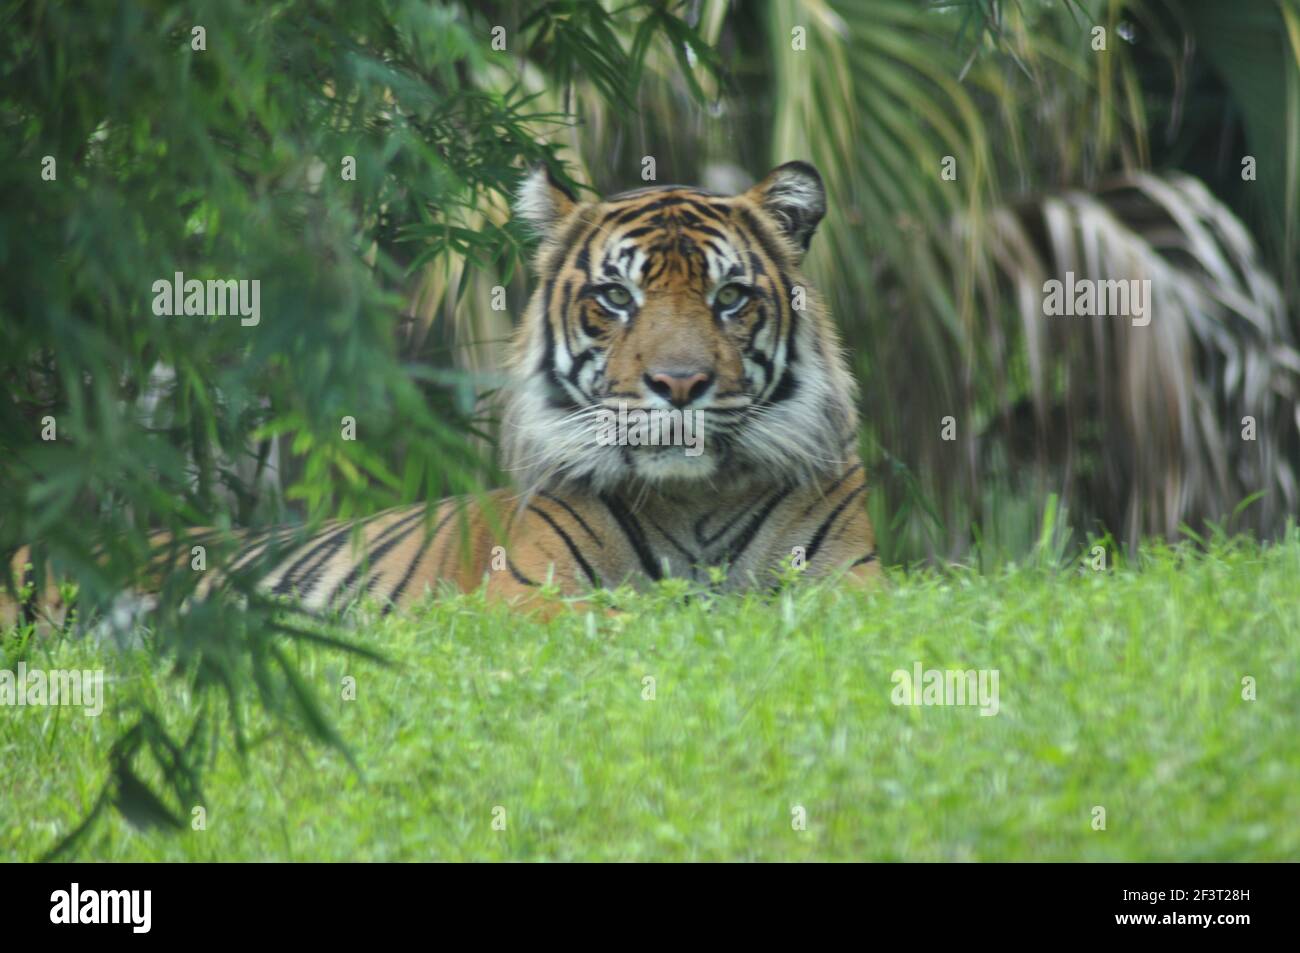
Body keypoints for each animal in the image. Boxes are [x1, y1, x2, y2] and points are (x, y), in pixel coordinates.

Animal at [5, 161, 878, 627]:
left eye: (729, 298)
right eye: (616, 297)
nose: (679, 383)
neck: (692, 498)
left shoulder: (854, 582)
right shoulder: (529, 600)